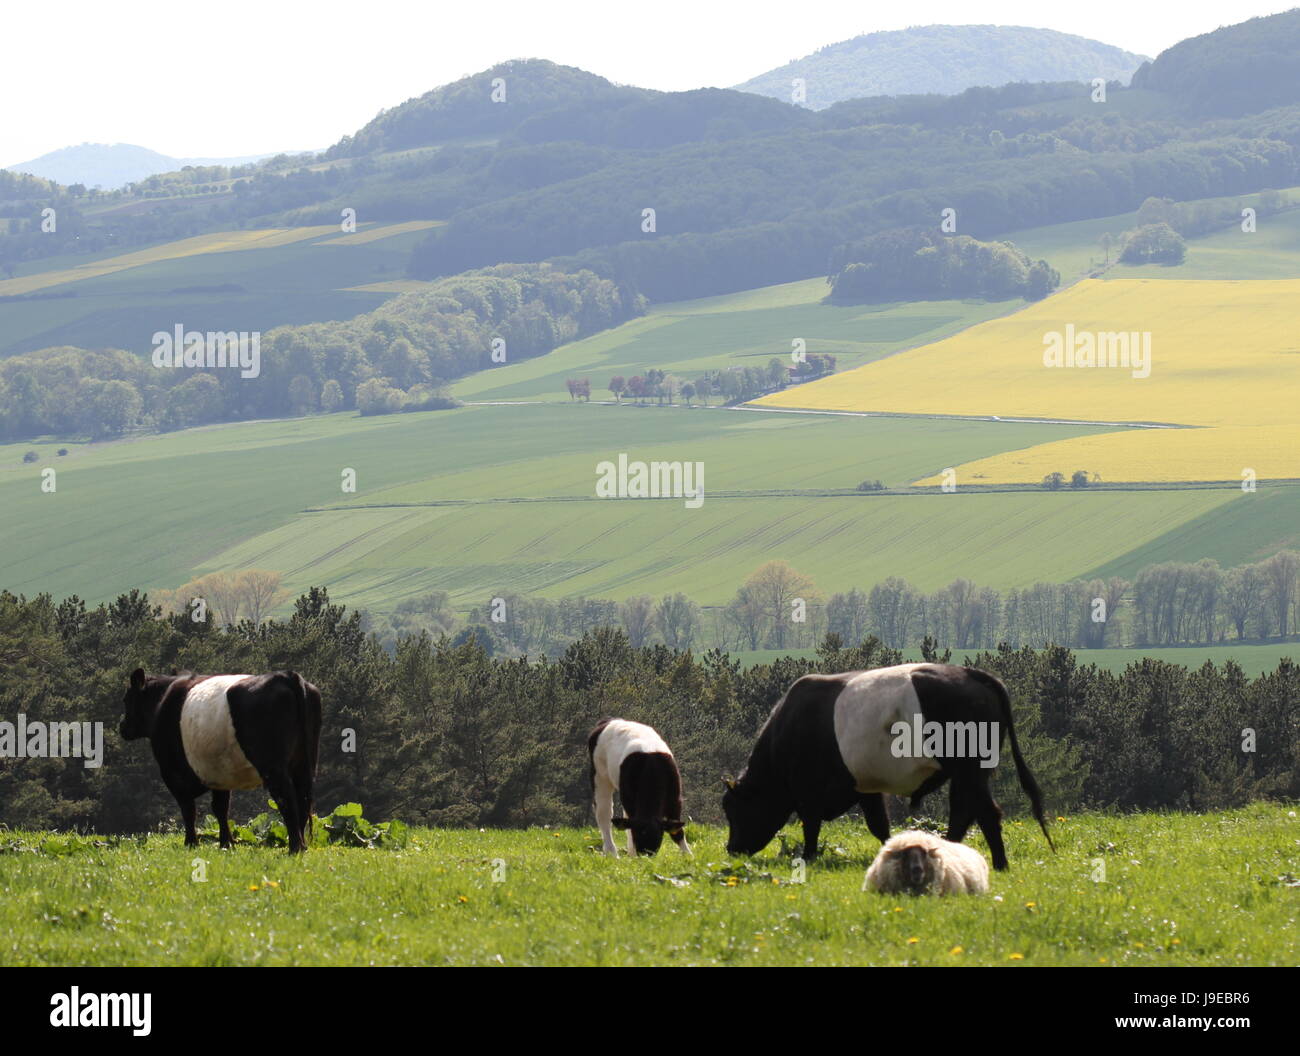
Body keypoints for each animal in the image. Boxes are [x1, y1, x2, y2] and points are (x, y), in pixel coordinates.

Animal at [119, 668, 322, 853]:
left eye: (126, 699)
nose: (122, 726)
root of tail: (285, 675)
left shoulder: (172, 774)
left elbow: (188, 809)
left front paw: (191, 843)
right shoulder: (220, 773)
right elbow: (220, 808)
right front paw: (227, 844)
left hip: (273, 766)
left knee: (286, 798)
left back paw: (294, 847)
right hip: (305, 764)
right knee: (303, 798)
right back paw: (302, 846)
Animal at [588, 718, 691, 857]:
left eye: (658, 836)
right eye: (638, 834)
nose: (645, 856)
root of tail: (610, 720)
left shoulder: (675, 799)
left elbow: (677, 832)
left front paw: (689, 855)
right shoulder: (629, 799)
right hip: (599, 776)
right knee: (604, 814)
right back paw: (613, 853)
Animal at [721, 663, 1054, 870]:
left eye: (734, 810)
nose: (731, 848)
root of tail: (971, 673)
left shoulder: (807, 791)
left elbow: (811, 826)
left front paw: (809, 857)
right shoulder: (865, 788)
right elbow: (879, 825)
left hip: (969, 769)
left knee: (984, 813)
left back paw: (999, 864)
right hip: (968, 774)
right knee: (965, 812)